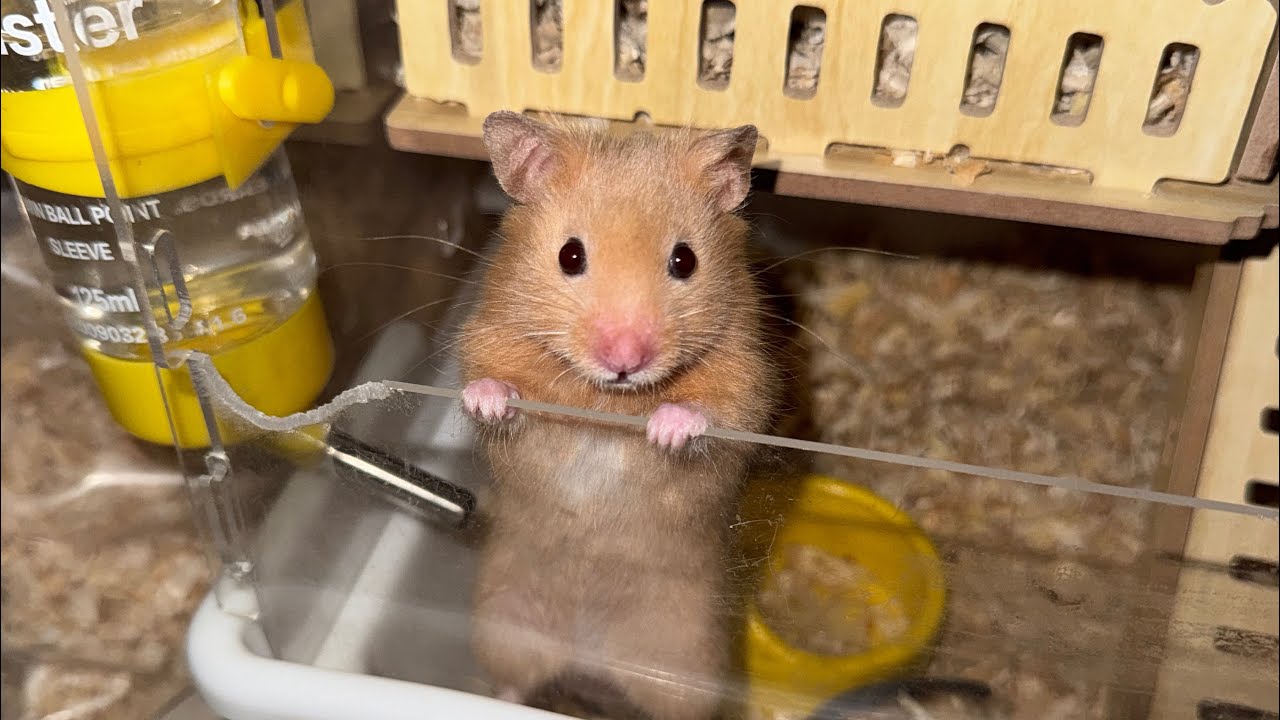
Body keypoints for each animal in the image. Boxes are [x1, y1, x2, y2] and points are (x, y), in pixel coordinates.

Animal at [457, 111, 778, 720]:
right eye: (570, 255)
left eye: (684, 260)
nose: (625, 361)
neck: (609, 401)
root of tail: (590, 661)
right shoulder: (492, 345)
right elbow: (495, 393)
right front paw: (488, 397)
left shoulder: (744, 390)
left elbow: (709, 415)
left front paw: (668, 426)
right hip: (505, 622)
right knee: (516, 680)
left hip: (682, 662)